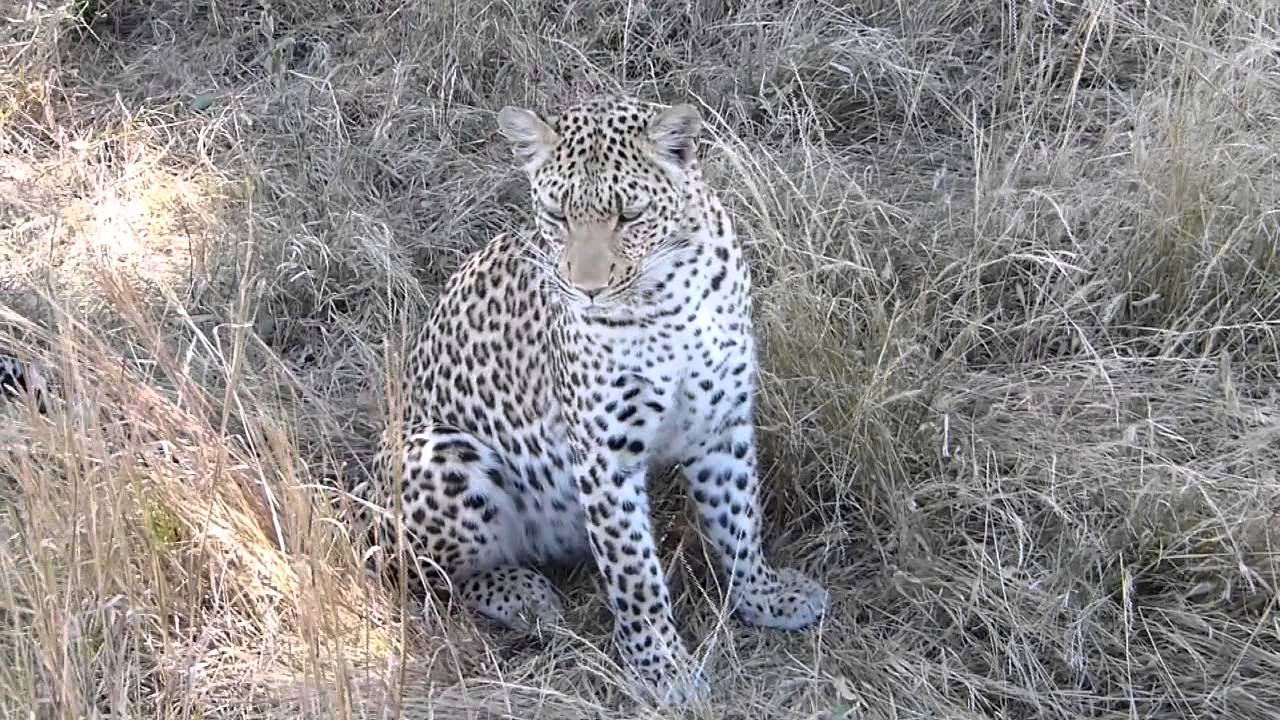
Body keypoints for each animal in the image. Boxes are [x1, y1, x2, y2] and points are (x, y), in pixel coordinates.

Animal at [351, 95, 830, 706]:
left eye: (629, 214)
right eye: (557, 215)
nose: (588, 290)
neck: (668, 297)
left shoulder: (720, 424)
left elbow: (739, 518)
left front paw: (762, 595)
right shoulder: (605, 456)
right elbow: (635, 572)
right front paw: (662, 668)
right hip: (440, 453)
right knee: (426, 576)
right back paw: (525, 597)